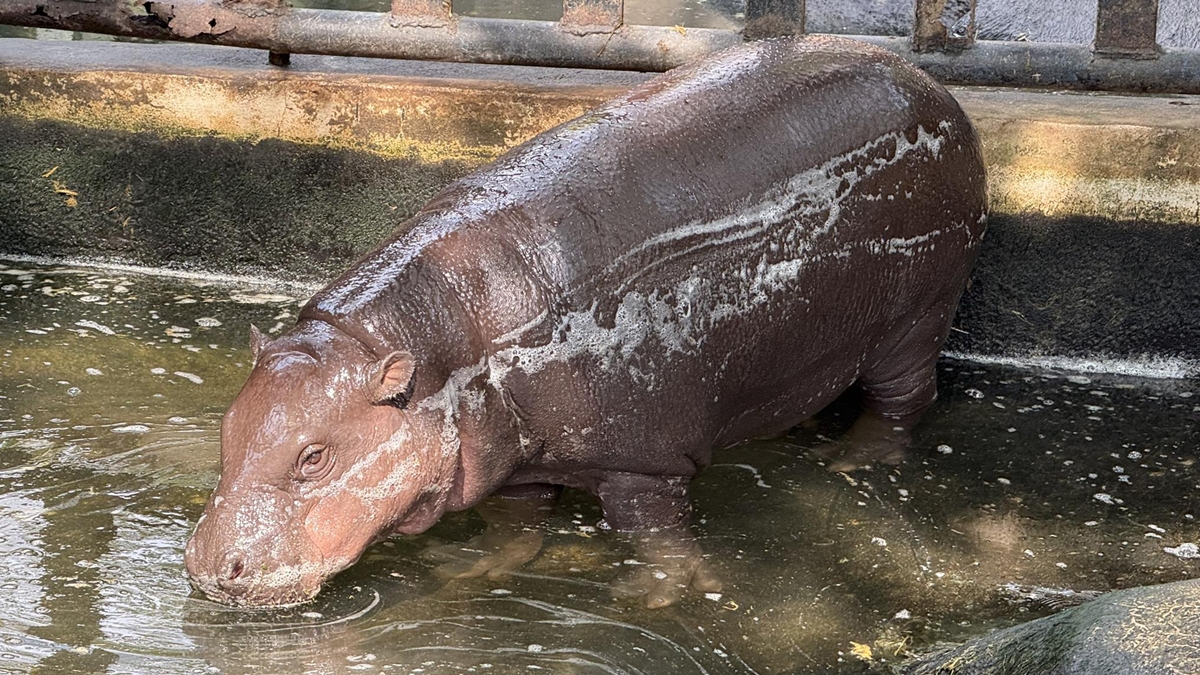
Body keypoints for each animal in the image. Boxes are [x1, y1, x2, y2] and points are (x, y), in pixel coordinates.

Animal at [184, 35, 988, 608]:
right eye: (226, 426)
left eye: (314, 457)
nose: (209, 567)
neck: (439, 342)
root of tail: (928, 81)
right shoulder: (507, 460)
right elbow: (516, 528)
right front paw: (473, 567)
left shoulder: (643, 462)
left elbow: (655, 536)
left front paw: (653, 595)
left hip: (917, 316)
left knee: (905, 398)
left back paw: (853, 461)